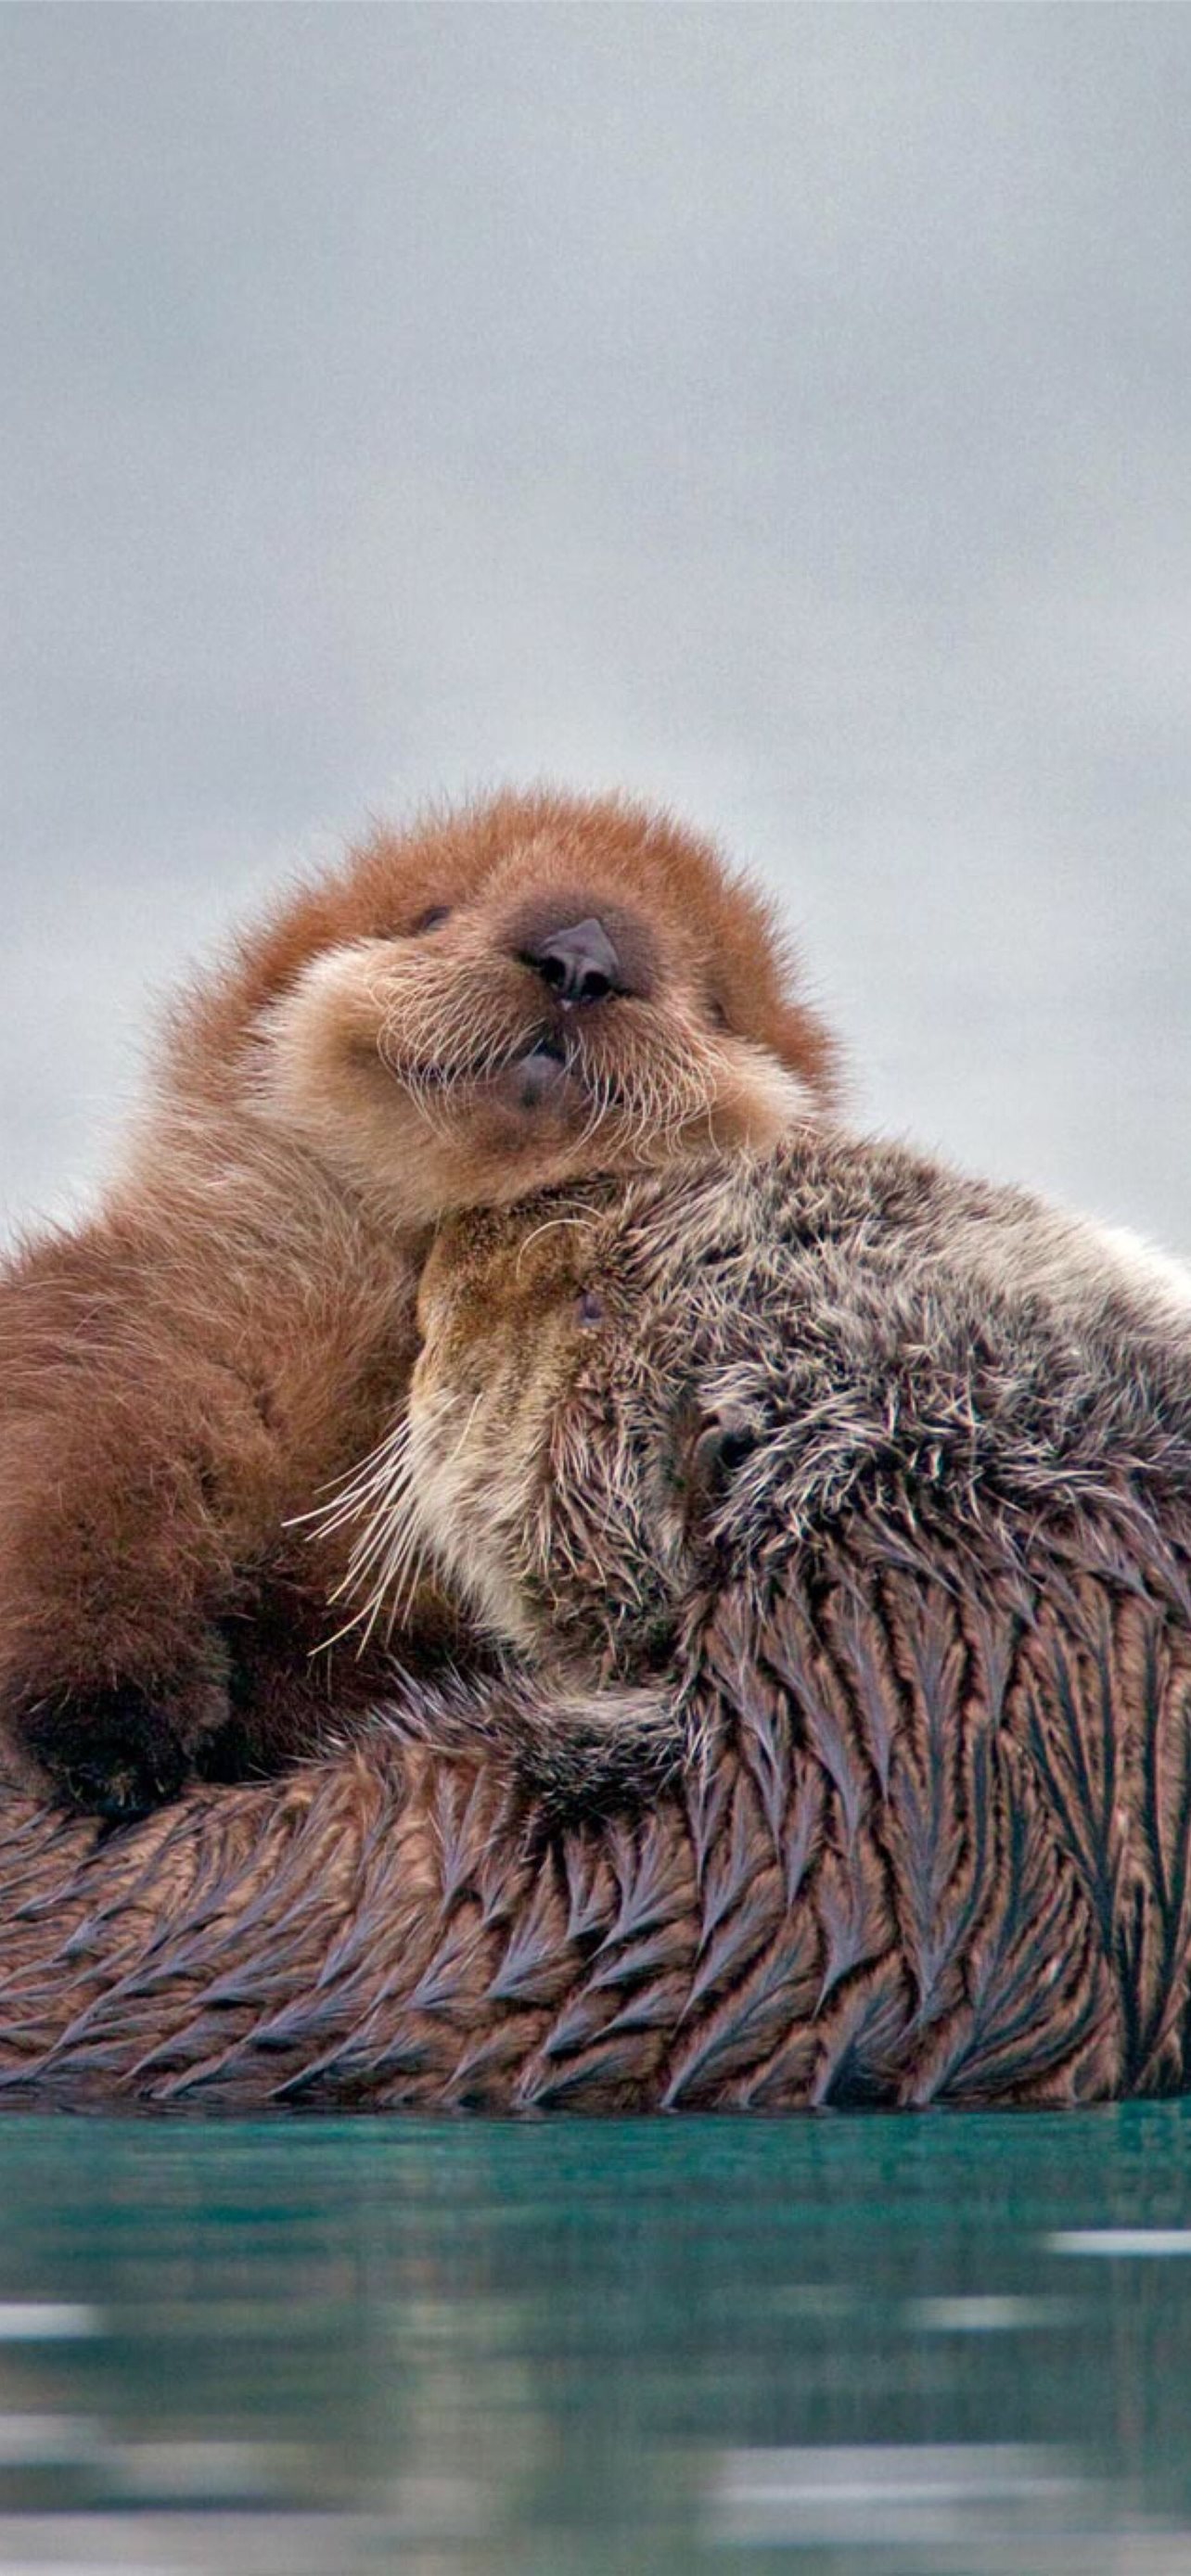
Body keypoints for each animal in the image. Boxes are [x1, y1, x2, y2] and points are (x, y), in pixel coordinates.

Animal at [0, 789, 836, 1819]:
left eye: (715, 998)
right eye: (435, 914)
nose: (582, 956)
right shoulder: (143, 1320)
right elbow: (78, 1477)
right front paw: (112, 1735)